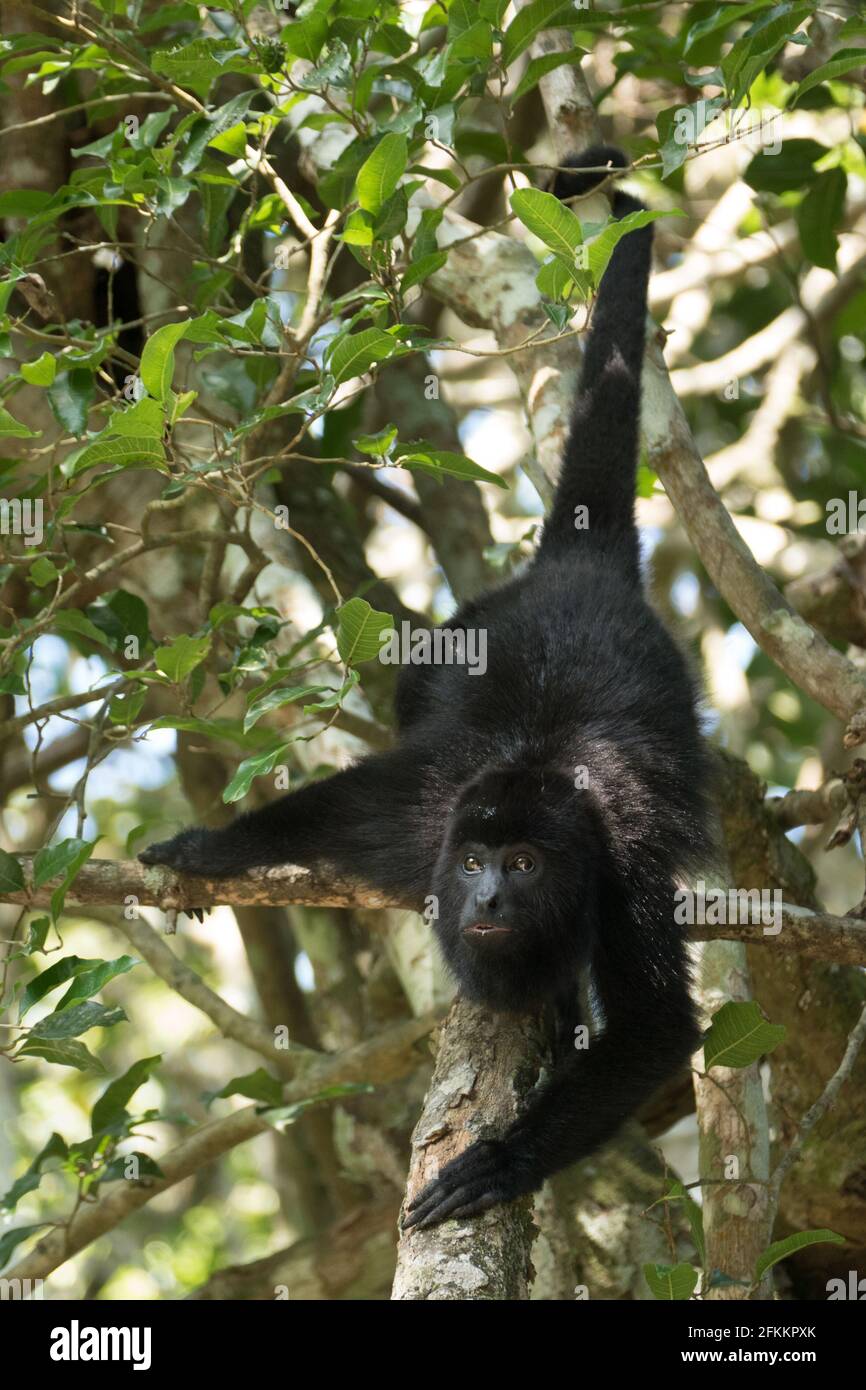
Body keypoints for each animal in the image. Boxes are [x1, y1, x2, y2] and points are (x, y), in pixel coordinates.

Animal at [140, 146, 714, 1228]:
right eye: (479, 859)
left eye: (523, 865)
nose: (484, 893)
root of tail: (578, 569)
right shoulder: (424, 813)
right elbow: (332, 806)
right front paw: (202, 849)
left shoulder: (619, 870)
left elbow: (657, 1030)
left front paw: (500, 1161)